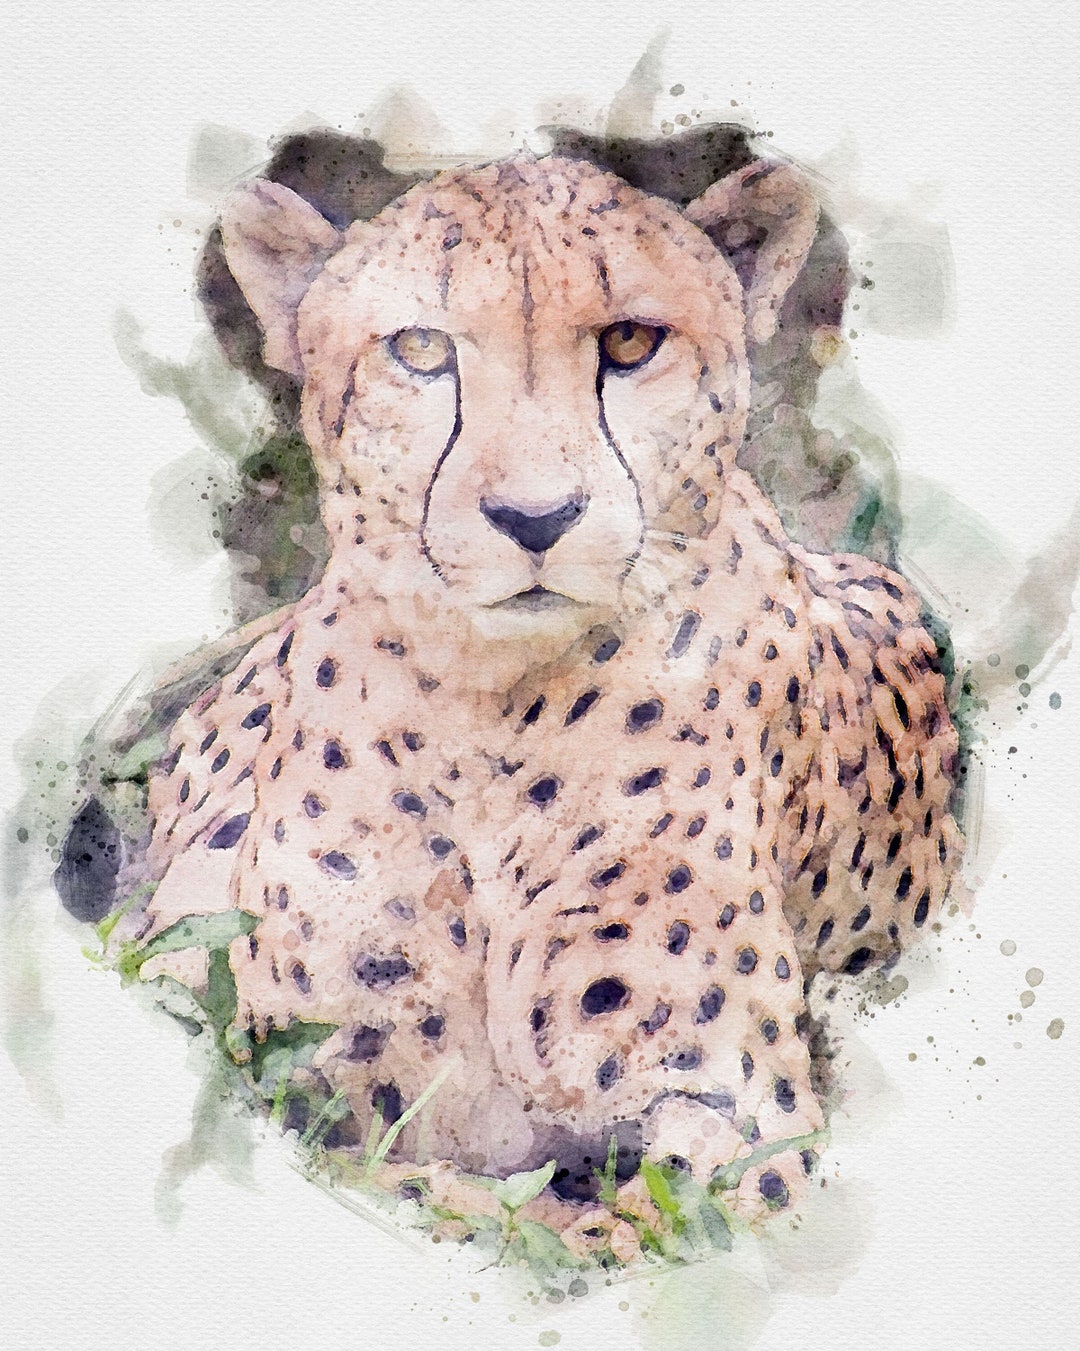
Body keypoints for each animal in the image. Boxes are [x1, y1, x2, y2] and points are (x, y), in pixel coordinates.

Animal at [129, 148, 961, 1235]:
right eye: (421, 348)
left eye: (630, 341)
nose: (535, 517)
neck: (487, 714)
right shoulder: (290, 1062)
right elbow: (385, 1167)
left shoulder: (743, 1113)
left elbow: (617, 1222)